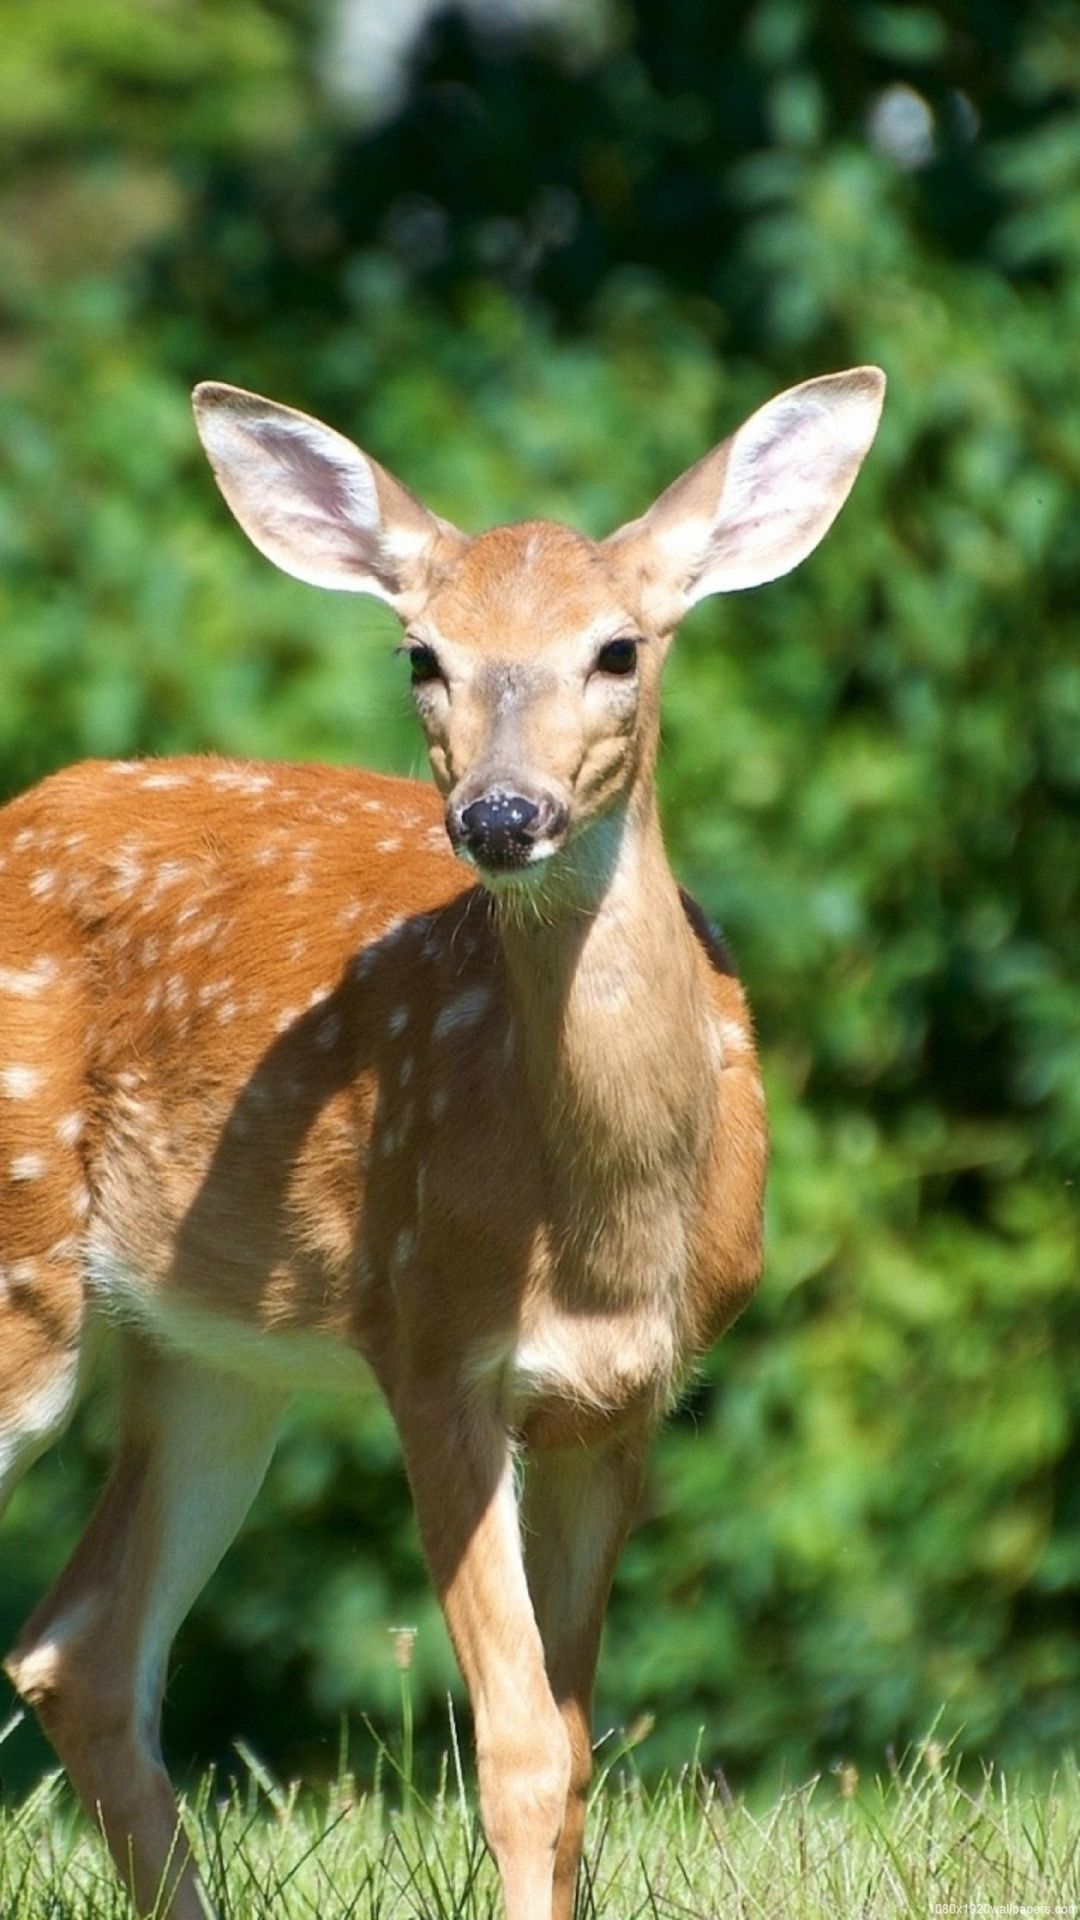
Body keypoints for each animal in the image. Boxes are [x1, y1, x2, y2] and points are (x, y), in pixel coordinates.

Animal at [0, 364, 884, 1919]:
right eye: (423, 654)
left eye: (618, 649)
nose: (501, 815)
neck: (596, 1232)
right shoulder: (428, 1344)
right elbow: (519, 1751)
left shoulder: (625, 1398)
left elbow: (579, 1755)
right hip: (23, 1266)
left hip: (213, 1356)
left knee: (81, 1651)